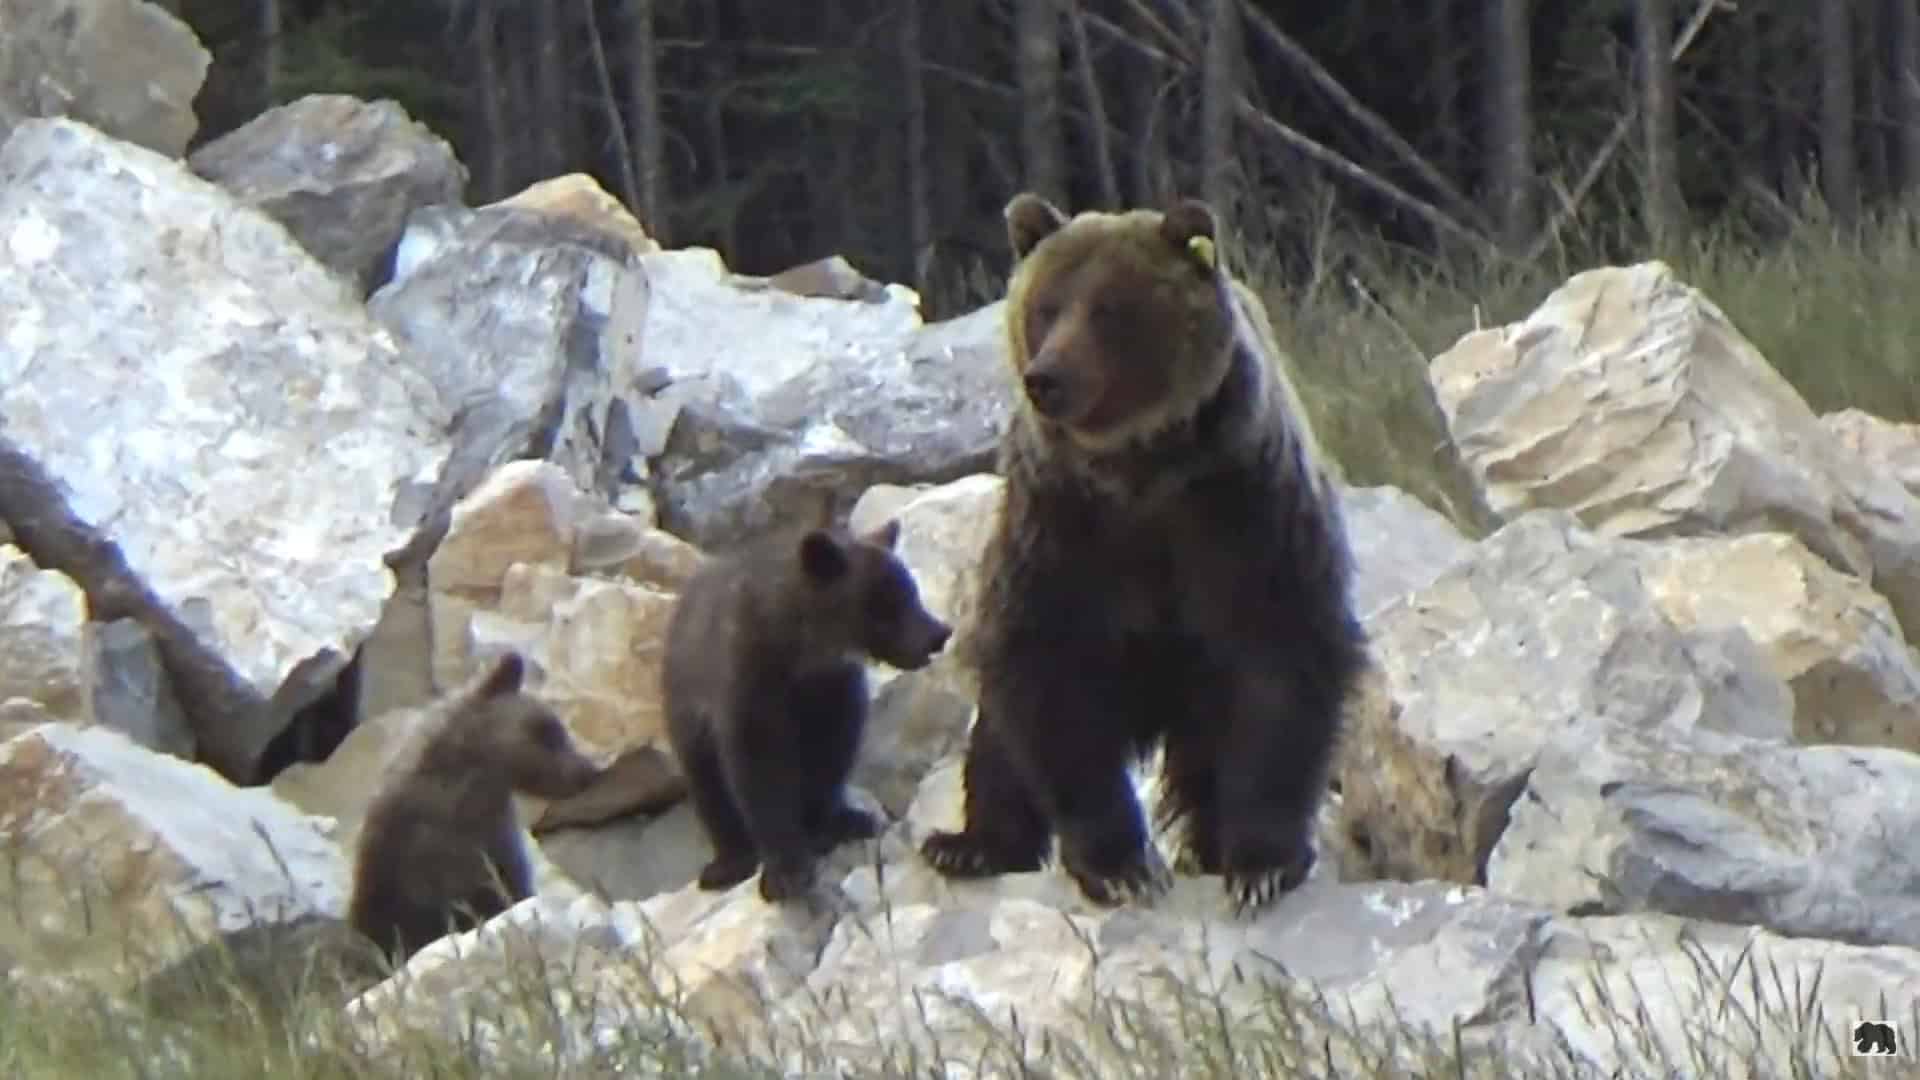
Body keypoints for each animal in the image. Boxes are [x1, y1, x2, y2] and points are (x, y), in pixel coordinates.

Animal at [663, 516, 953, 903]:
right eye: (884, 604)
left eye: (912, 591)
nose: (939, 633)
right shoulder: (749, 681)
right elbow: (760, 769)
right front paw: (786, 871)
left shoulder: (833, 689)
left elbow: (830, 754)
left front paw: (835, 824)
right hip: (685, 711)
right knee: (707, 783)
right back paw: (727, 862)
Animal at [917, 193, 1369, 914]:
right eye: (1047, 306)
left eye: (1110, 309)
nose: (1046, 377)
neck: (1143, 470)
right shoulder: (1062, 526)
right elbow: (1048, 674)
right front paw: (1120, 865)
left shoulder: (1245, 506)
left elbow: (1281, 657)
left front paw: (1261, 862)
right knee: (998, 739)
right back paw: (969, 844)